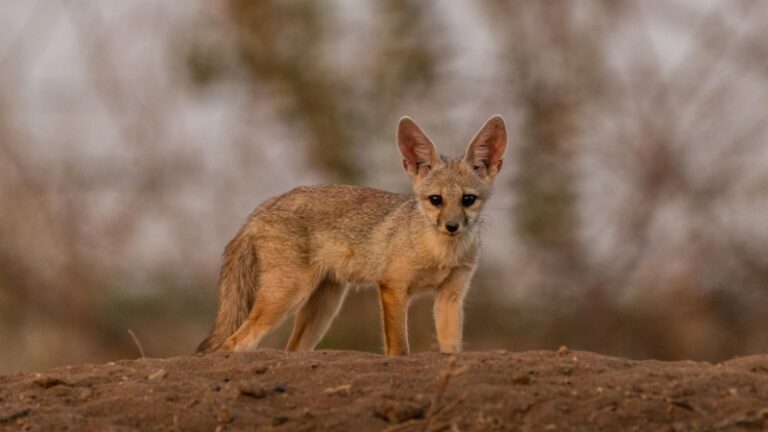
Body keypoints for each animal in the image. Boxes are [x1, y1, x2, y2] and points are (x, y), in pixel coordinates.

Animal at [197, 115, 507, 356]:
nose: (452, 226)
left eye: (468, 200)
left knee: (291, 350)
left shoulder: (451, 295)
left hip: (324, 306)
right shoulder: (392, 287)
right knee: (235, 343)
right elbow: (399, 350)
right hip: (286, 296)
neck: (440, 253)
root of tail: (262, 207)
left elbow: (452, 350)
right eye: (435, 200)